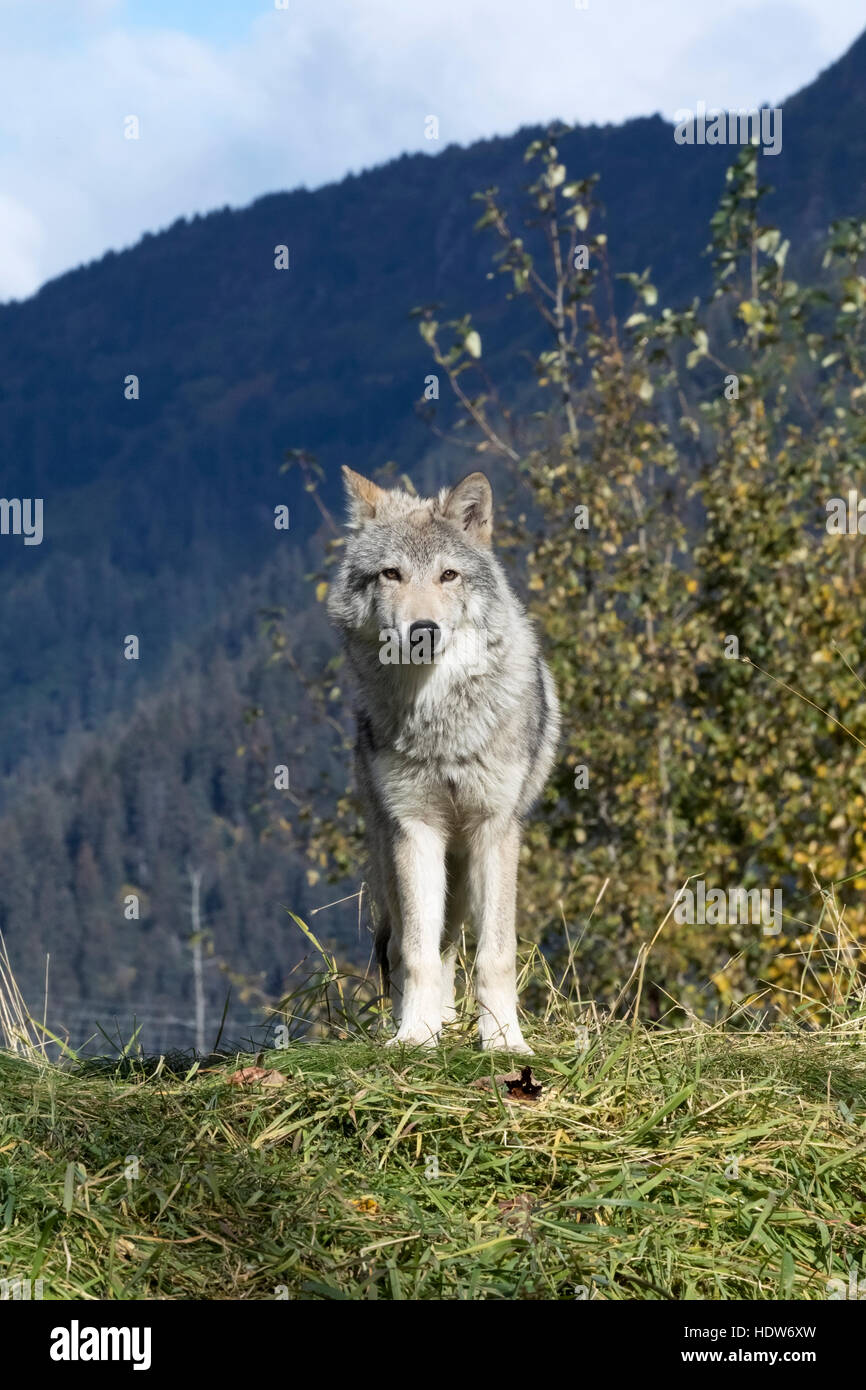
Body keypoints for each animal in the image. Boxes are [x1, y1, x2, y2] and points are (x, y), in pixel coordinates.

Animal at [327, 466, 559, 1051]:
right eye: (391, 574)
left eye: (448, 575)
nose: (423, 631)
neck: (440, 723)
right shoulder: (415, 830)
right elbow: (416, 954)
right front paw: (415, 1036)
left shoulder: (495, 829)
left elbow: (495, 955)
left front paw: (503, 1041)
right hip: (393, 853)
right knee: (405, 945)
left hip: (461, 862)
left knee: (453, 943)